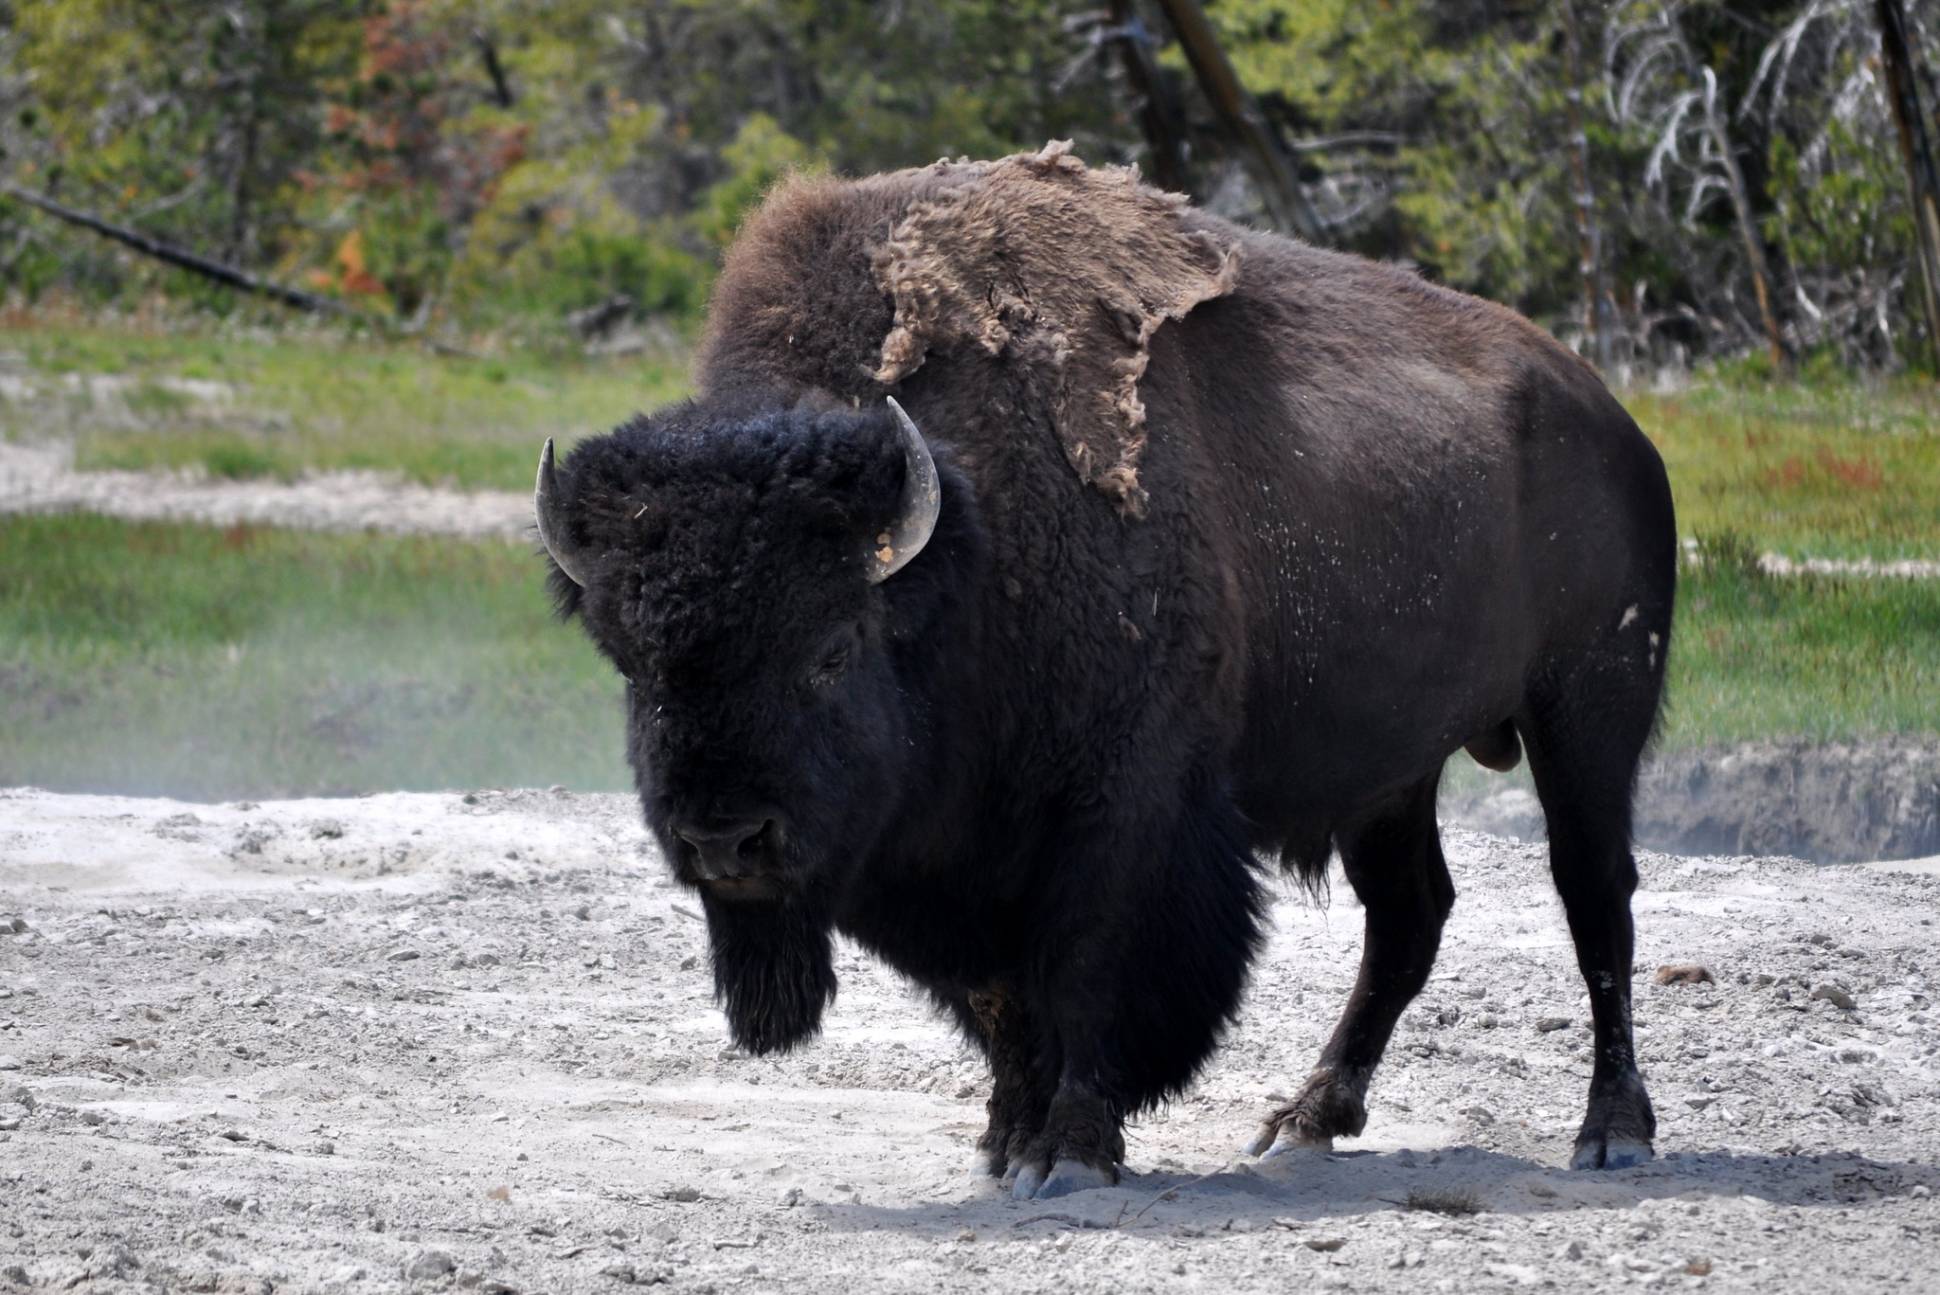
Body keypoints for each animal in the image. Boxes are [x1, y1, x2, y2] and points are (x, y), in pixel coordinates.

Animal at [536, 143, 1676, 1199]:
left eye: (832, 646)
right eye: (630, 659)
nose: (723, 838)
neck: (967, 546)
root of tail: (1611, 423)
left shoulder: (1119, 806)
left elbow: (1085, 966)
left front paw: (1070, 1153)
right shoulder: (957, 862)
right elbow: (999, 1000)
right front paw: (1004, 1143)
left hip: (1585, 712)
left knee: (1594, 897)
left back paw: (1611, 1132)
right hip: (1391, 772)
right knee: (1408, 915)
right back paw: (1304, 1119)